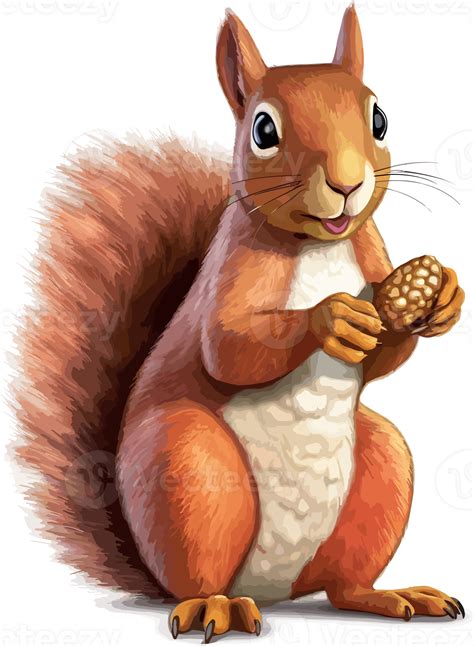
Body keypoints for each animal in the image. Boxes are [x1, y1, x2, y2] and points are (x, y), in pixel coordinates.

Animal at [14, 4, 465, 642]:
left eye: (379, 118)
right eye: (263, 130)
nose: (348, 184)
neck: (319, 245)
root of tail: (272, 591)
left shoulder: (372, 254)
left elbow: (385, 357)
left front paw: (441, 295)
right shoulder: (230, 274)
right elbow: (229, 348)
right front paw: (332, 316)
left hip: (383, 468)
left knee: (344, 582)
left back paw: (392, 596)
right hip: (189, 467)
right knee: (199, 564)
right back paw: (214, 607)